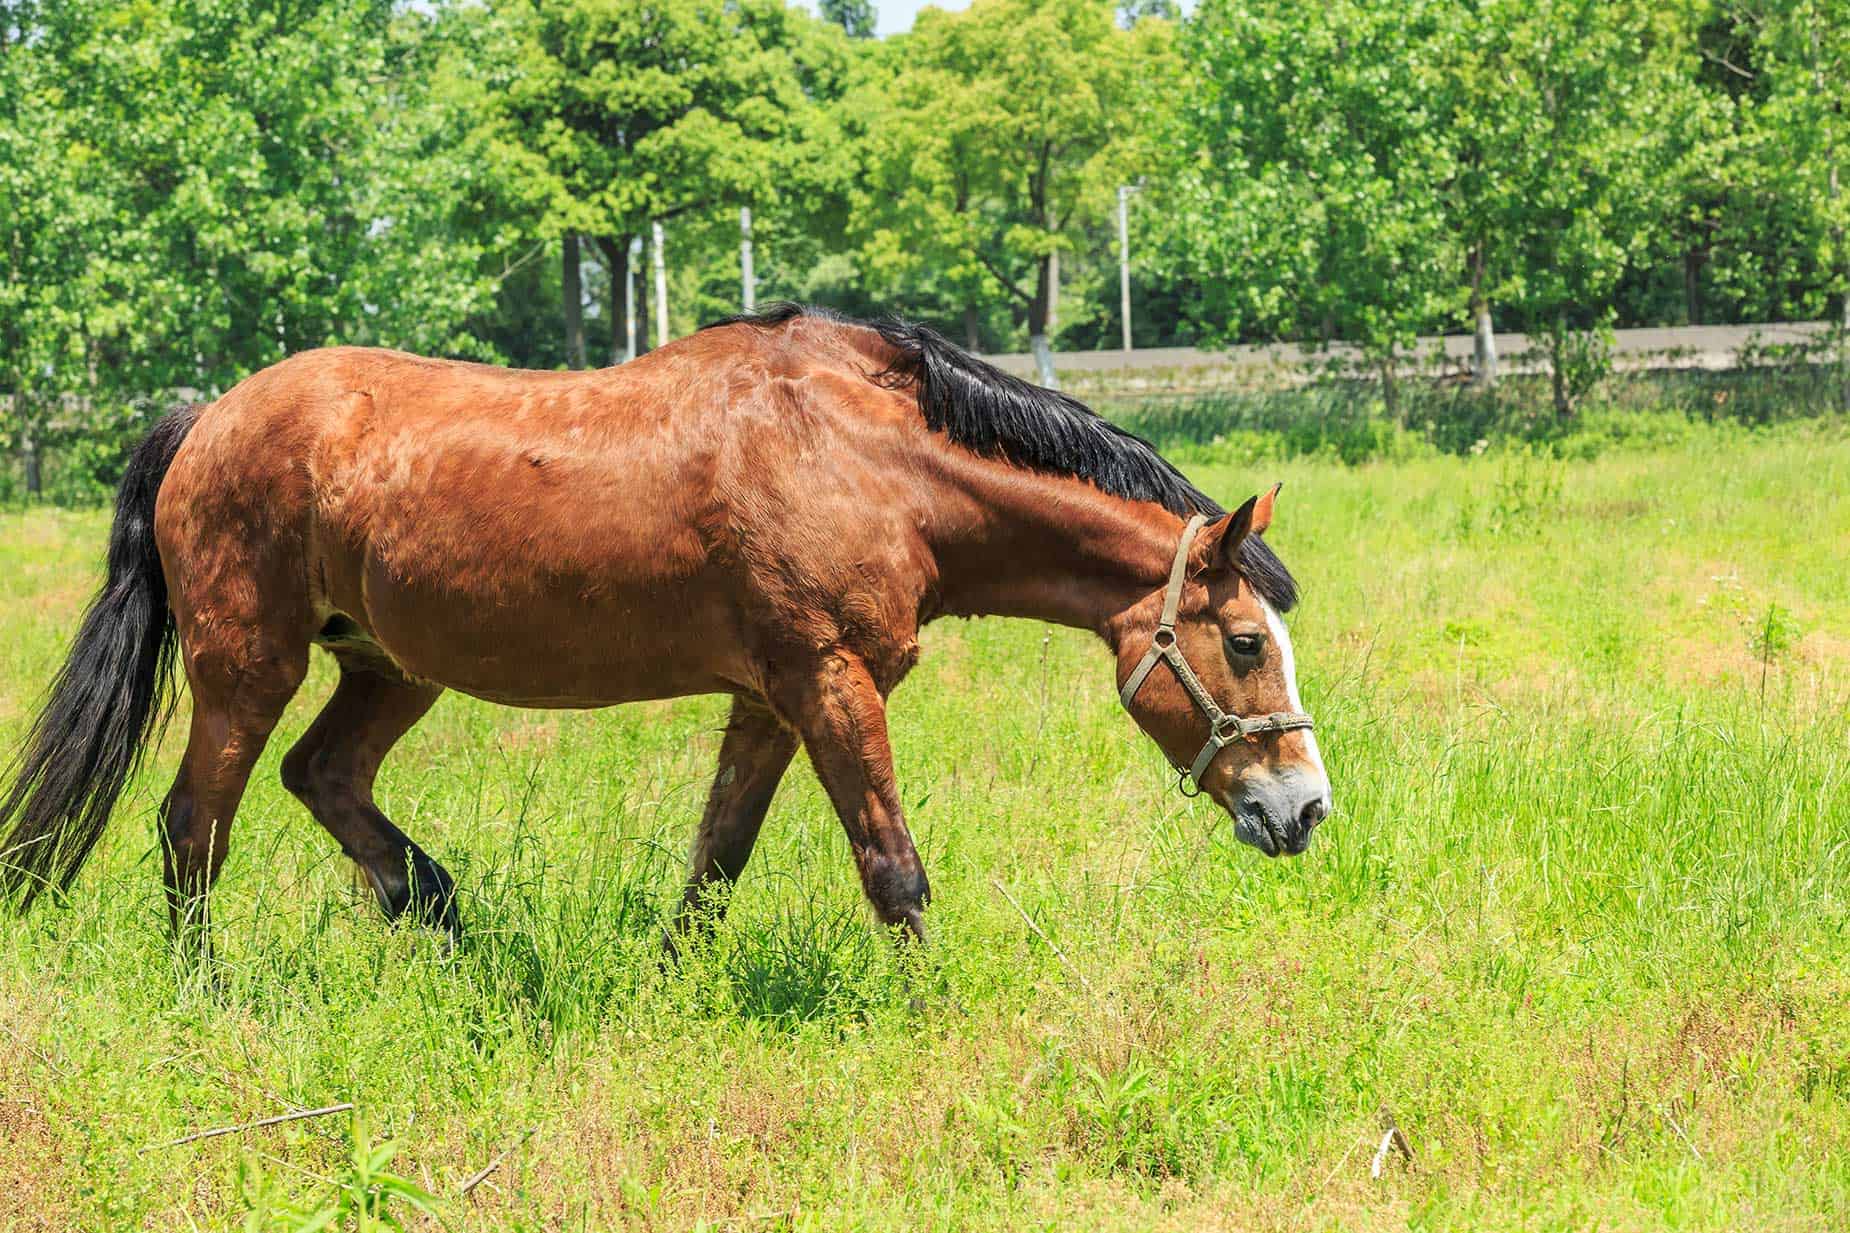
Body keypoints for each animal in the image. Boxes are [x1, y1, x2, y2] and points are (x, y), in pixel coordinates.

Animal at [0, 304, 1330, 955]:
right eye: (1244, 643)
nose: (1304, 809)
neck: (872, 461)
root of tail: (207, 417)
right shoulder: (831, 684)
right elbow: (891, 869)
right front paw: (934, 1010)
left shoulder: (768, 699)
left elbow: (713, 868)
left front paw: (672, 986)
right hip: (247, 665)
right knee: (192, 828)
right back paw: (208, 987)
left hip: (391, 669)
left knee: (320, 777)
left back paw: (441, 915)